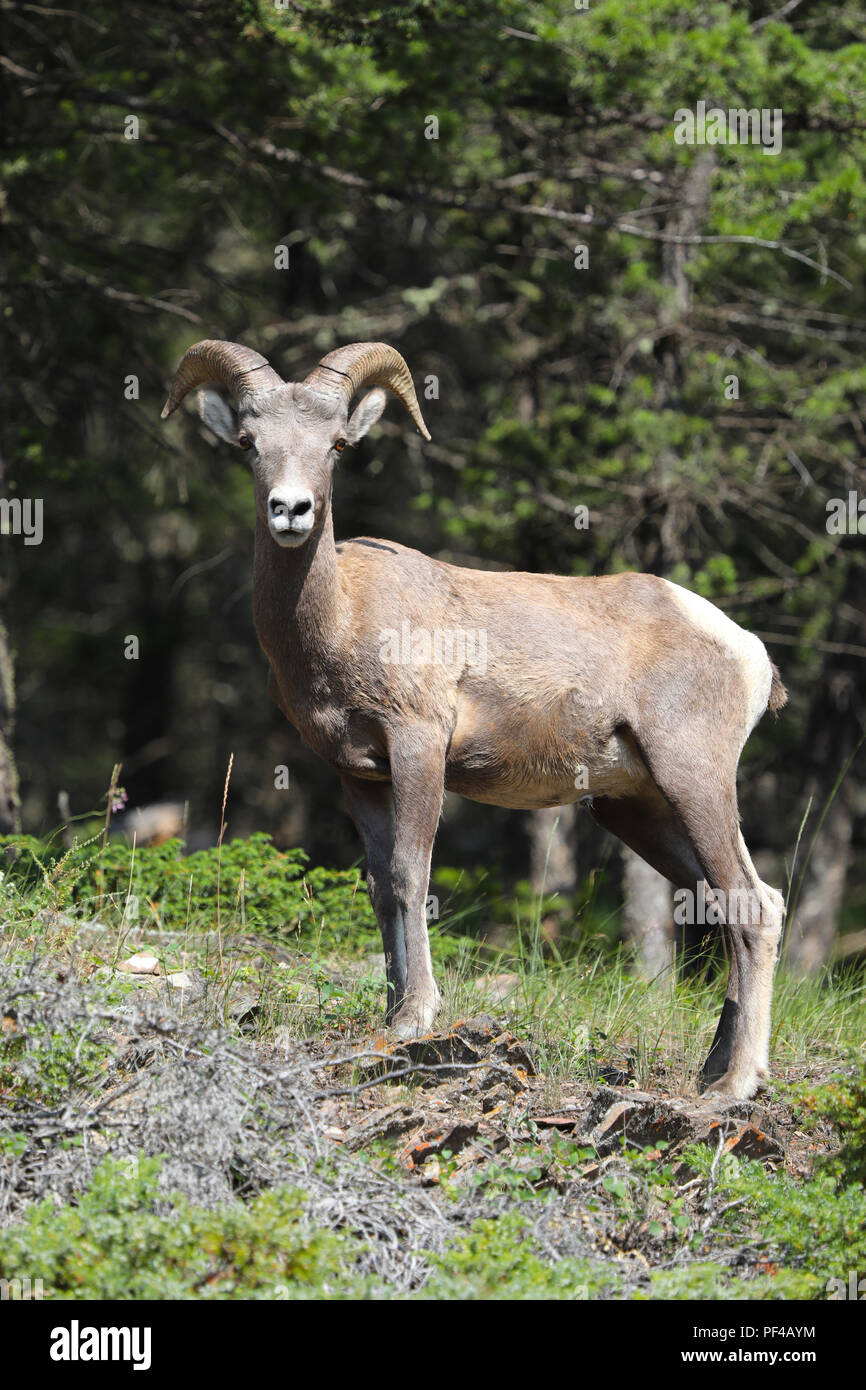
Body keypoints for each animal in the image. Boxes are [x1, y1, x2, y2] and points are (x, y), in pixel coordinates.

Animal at [162, 338, 787, 1100]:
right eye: (250, 444)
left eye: (336, 445)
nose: (291, 510)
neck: (340, 617)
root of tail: (747, 651)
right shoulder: (358, 776)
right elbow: (381, 887)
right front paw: (392, 1013)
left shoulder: (418, 748)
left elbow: (411, 875)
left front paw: (417, 1015)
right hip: (637, 809)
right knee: (723, 905)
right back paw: (711, 1073)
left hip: (694, 780)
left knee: (754, 906)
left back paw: (737, 1086)